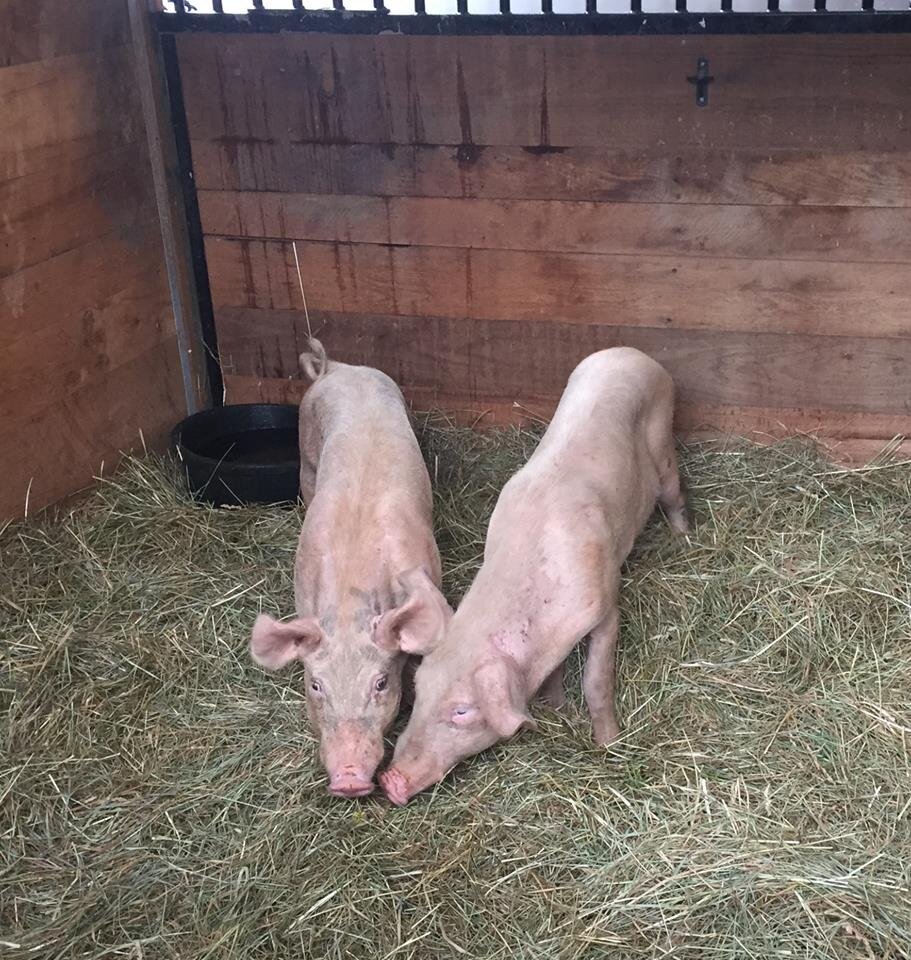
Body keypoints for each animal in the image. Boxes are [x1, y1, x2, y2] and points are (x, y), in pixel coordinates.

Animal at [250, 339, 445, 799]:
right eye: (315, 685)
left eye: (381, 683)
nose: (349, 779)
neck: (349, 602)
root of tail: (335, 368)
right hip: (306, 453)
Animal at [378, 347, 688, 806]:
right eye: (419, 691)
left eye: (463, 710)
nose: (390, 781)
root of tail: (631, 353)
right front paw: (556, 707)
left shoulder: (605, 605)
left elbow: (596, 682)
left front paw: (608, 743)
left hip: (664, 443)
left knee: (675, 494)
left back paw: (685, 538)